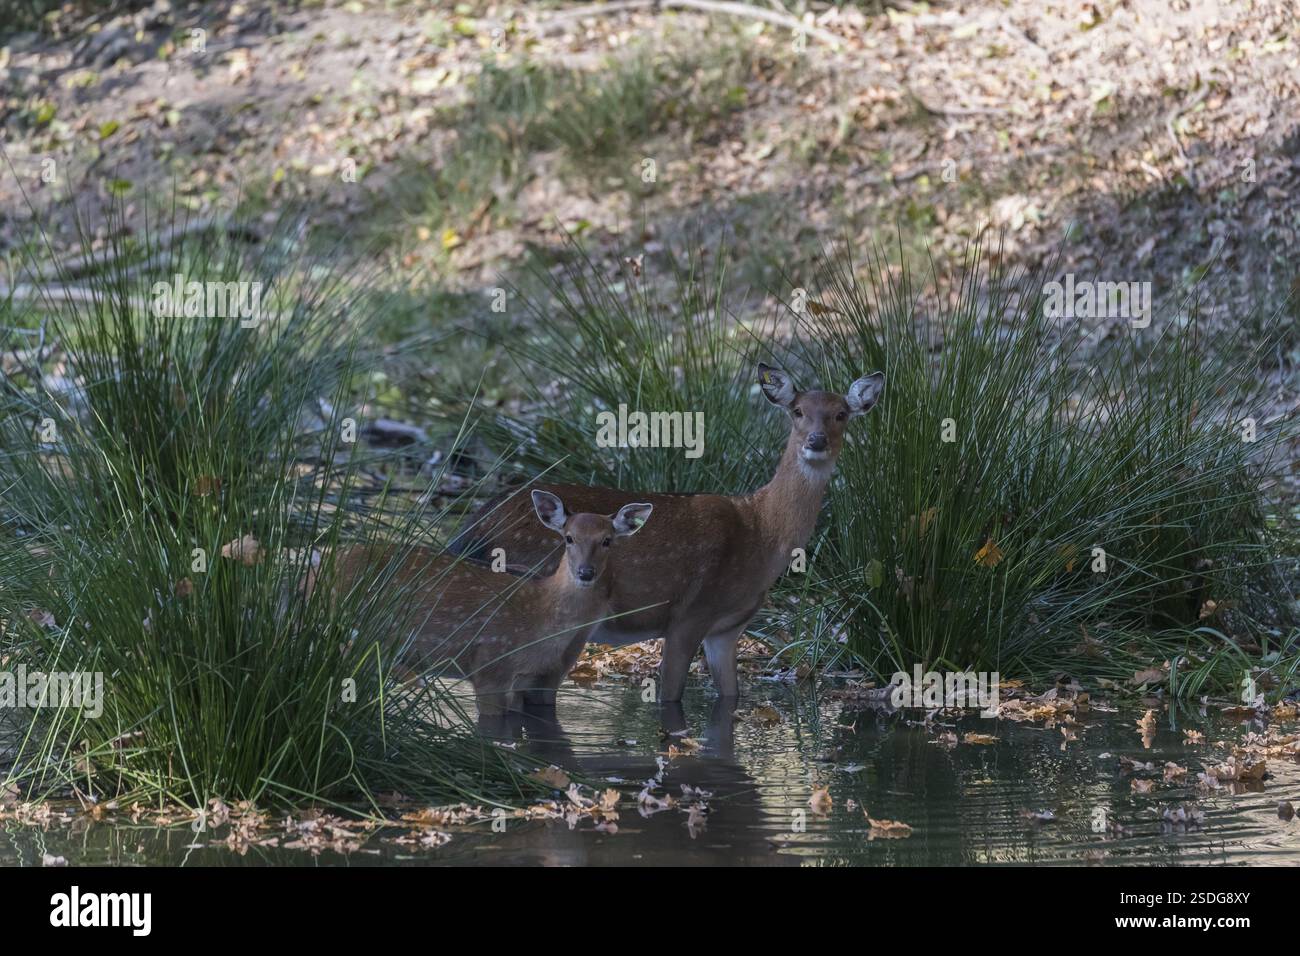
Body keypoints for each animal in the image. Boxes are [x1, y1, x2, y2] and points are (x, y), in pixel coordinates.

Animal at [332, 491, 653, 717]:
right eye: (569, 538)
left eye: (607, 540)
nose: (586, 572)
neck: (541, 614)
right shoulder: (491, 661)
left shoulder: (530, 678)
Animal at [450, 363, 884, 703]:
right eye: (797, 411)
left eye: (841, 413)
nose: (816, 440)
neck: (761, 533)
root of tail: (470, 531)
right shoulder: (689, 614)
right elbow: (670, 697)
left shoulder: (727, 629)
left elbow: (730, 698)